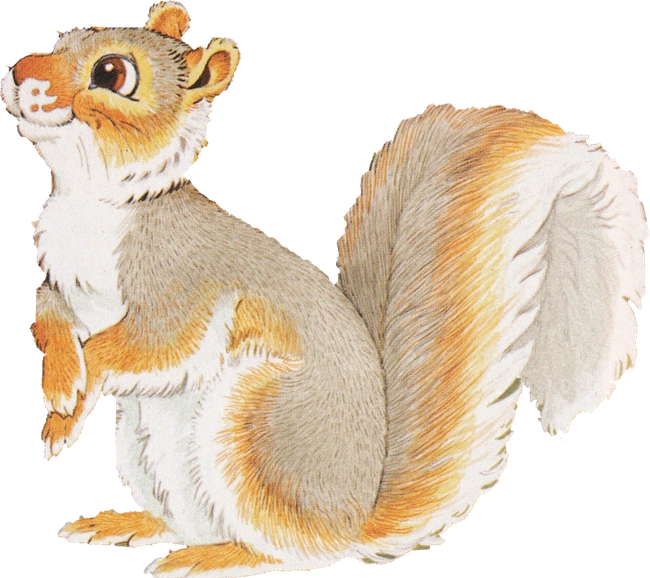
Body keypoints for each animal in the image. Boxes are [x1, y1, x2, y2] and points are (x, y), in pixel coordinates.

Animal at [3, 2, 646, 577]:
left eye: (113, 74)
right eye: (64, 36)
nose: (19, 70)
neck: (94, 206)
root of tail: (352, 519)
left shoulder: (180, 280)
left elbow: (155, 344)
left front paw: (75, 392)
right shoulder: (59, 280)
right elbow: (50, 315)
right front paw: (59, 395)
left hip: (254, 433)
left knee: (293, 551)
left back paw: (211, 558)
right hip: (148, 448)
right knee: (193, 521)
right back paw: (128, 522)